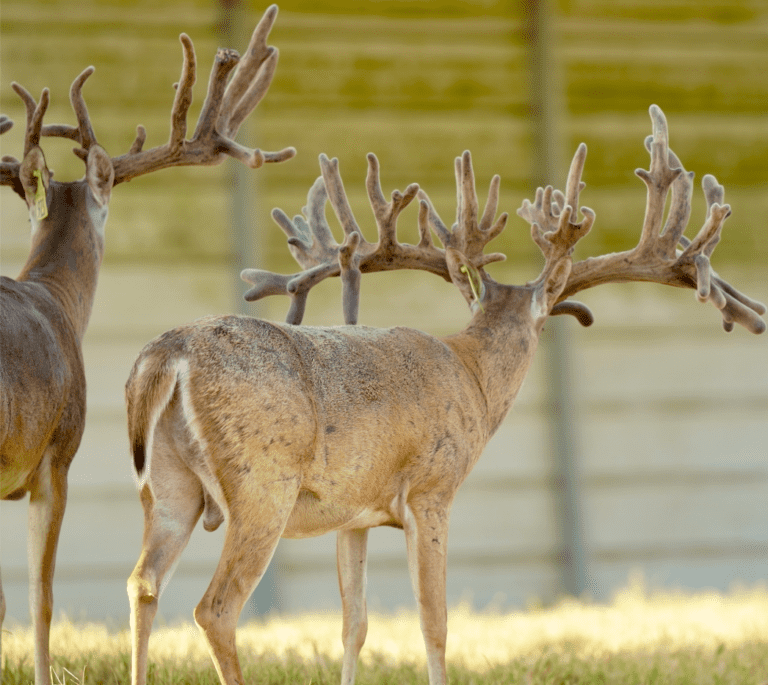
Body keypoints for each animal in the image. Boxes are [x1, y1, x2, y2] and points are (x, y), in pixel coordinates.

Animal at [125, 104, 765, 685]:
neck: (472, 377)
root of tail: (169, 353)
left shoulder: (352, 513)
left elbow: (353, 625)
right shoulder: (432, 490)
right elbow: (435, 622)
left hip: (168, 486)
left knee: (142, 582)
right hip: (263, 482)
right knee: (216, 608)